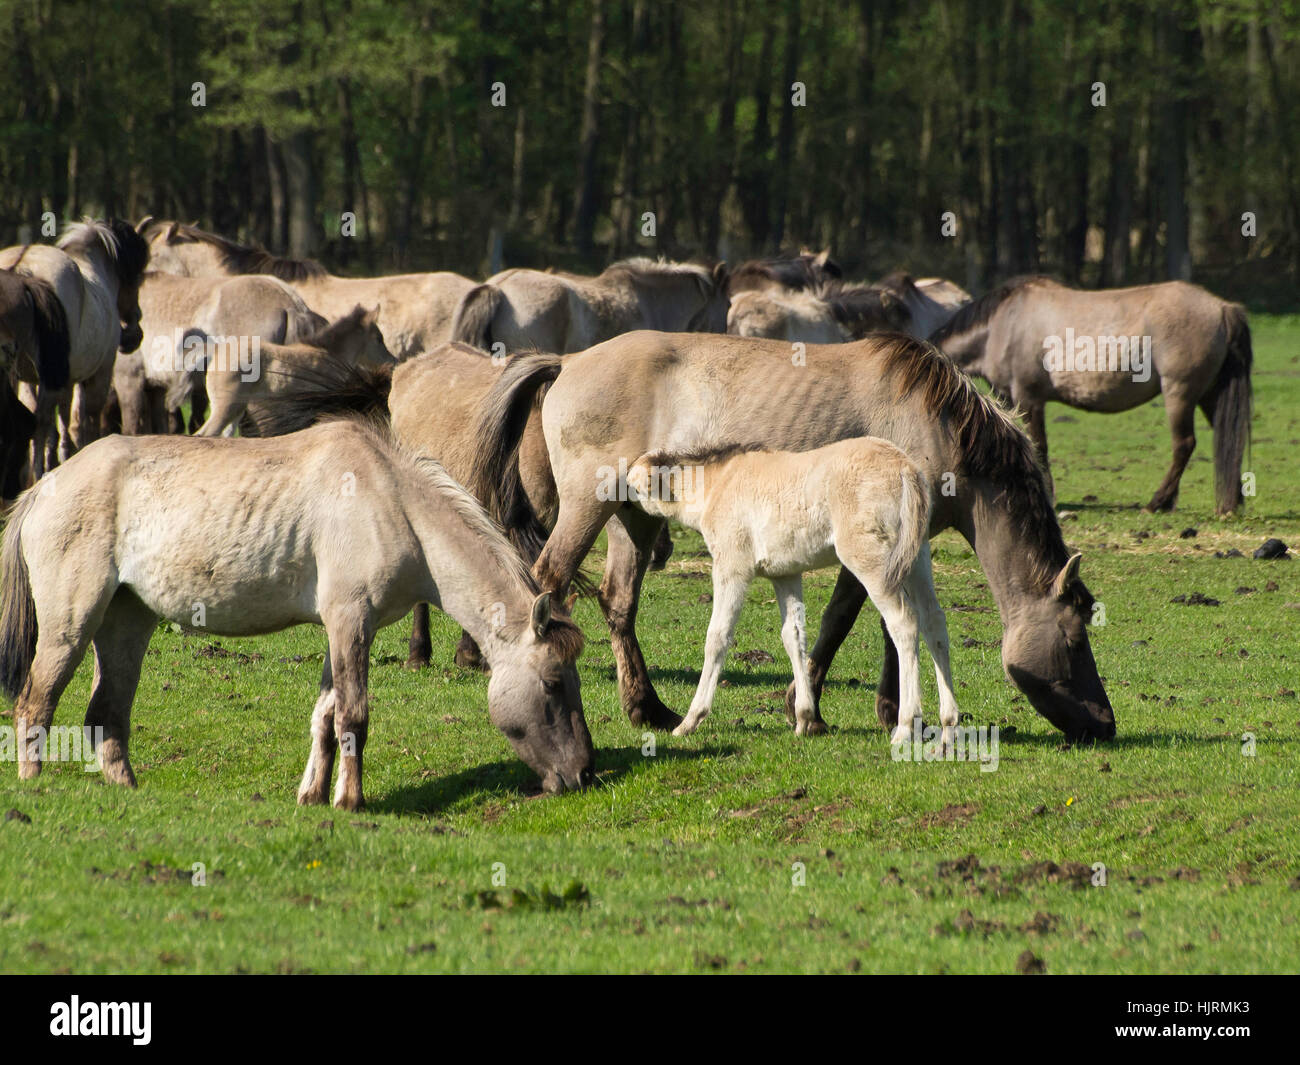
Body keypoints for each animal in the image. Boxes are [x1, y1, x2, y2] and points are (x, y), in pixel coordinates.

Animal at [0, 219, 149, 477]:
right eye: (137, 277)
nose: (133, 334)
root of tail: (20, 268)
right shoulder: (98, 376)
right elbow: (85, 422)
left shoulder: (55, 381)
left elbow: (61, 426)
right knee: (38, 422)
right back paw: (37, 474)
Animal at [0, 419, 594, 808]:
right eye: (552, 684)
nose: (583, 774)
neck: (392, 502)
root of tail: (42, 487)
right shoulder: (350, 622)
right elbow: (354, 715)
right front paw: (350, 802)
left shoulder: (343, 631)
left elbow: (325, 718)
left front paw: (312, 794)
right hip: (71, 626)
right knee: (35, 703)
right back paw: (34, 783)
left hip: (126, 624)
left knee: (107, 713)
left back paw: (125, 788)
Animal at [626, 439, 959, 745]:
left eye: (633, 487)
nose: (657, 553)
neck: (717, 486)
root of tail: (906, 469)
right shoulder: (785, 574)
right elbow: (793, 635)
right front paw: (804, 719)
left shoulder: (732, 567)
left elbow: (718, 637)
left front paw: (690, 721)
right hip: (916, 557)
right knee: (934, 621)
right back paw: (948, 724)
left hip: (872, 561)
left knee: (904, 623)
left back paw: (905, 727)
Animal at [927, 277, 1253, 514]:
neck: (1000, 326)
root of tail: (1222, 308)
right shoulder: (1007, 398)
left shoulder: (1029, 398)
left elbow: (1038, 445)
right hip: (1209, 394)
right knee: (1229, 438)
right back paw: (1231, 501)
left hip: (1179, 392)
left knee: (1184, 444)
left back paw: (1157, 502)